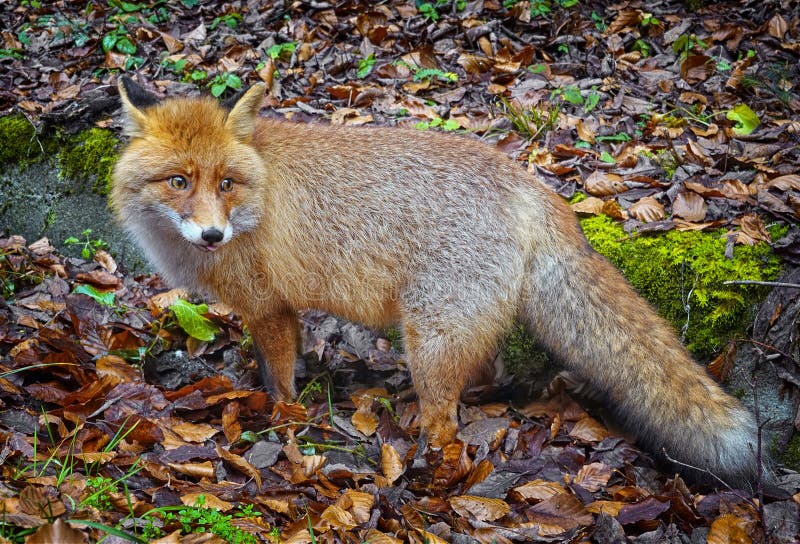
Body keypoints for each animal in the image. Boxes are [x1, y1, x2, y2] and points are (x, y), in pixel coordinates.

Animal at [111, 76, 766, 486]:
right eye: (178, 181)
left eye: (225, 183)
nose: (212, 236)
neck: (260, 197)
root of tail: (531, 185)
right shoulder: (277, 309)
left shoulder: (268, 306)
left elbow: (280, 380)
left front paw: (284, 420)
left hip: (430, 338)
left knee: (446, 423)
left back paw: (424, 468)